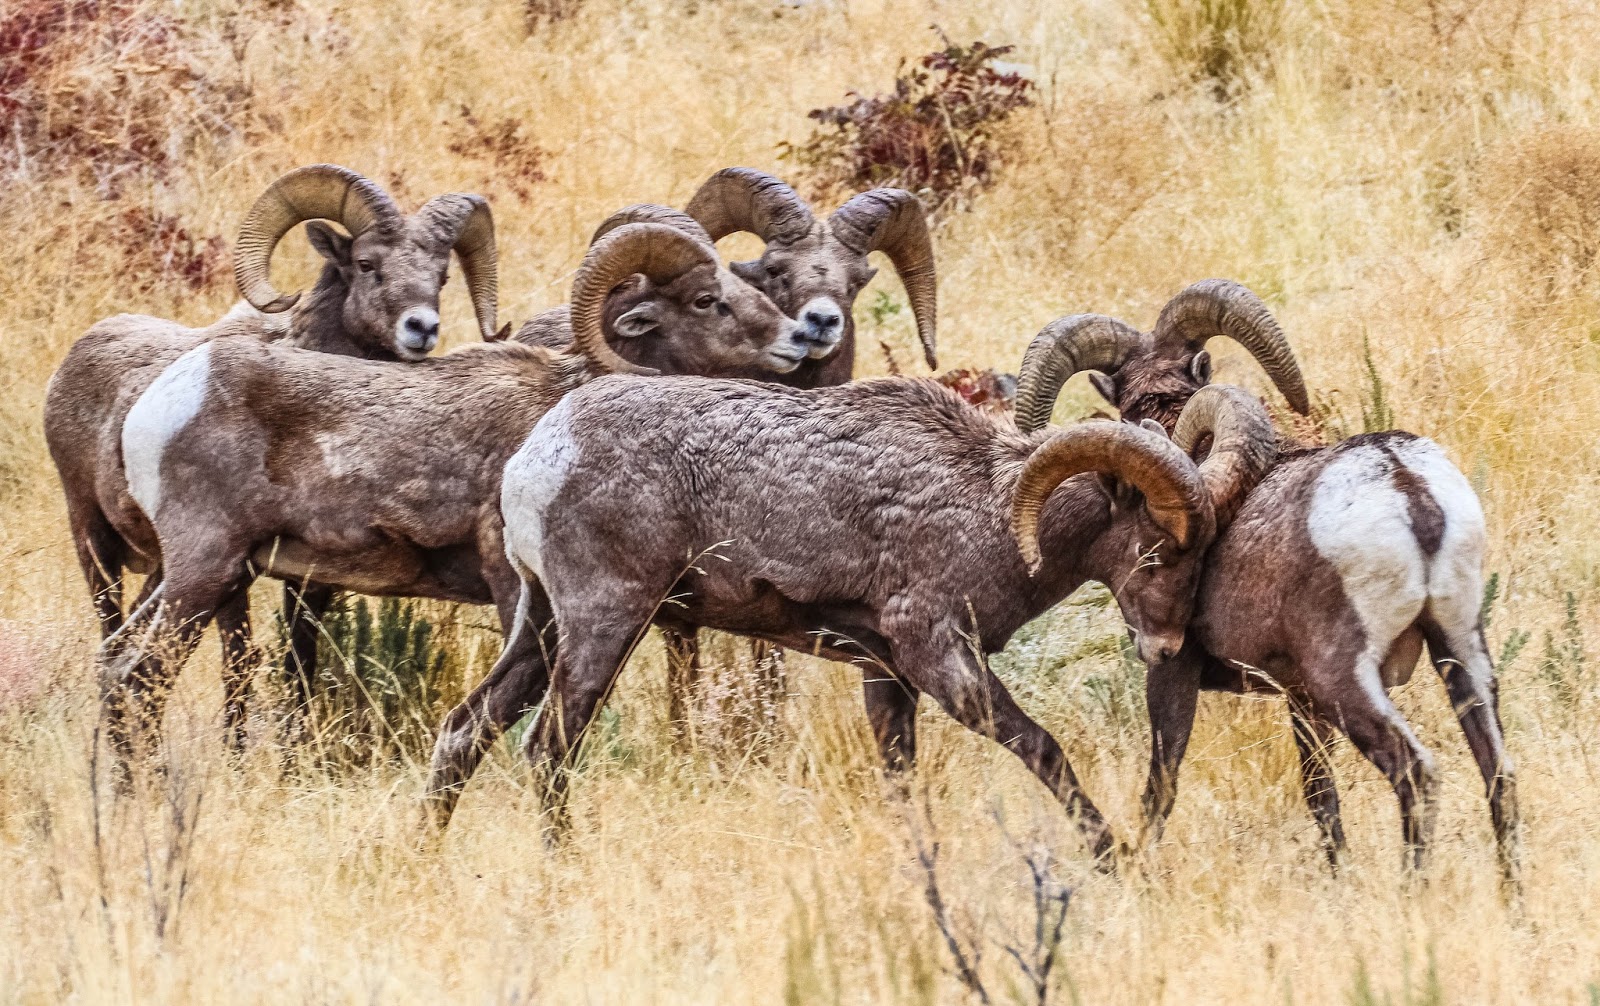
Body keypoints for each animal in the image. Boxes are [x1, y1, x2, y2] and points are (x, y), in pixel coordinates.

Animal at [45, 164, 501, 748]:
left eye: (442, 277)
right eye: (366, 264)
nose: (421, 329)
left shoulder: (311, 580)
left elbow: (297, 662)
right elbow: (238, 661)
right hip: (97, 541)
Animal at [96, 220, 810, 766]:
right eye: (704, 300)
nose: (799, 338)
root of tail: (167, 394)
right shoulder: (512, 584)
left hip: (197, 575)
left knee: (113, 667)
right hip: (205, 571)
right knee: (137, 676)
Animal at [427, 361, 1275, 860]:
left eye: (1204, 555)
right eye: (1155, 553)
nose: (1166, 649)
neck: (988, 509)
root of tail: (538, 456)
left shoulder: (885, 674)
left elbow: (901, 779)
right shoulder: (939, 654)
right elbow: (1042, 749)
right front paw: (1111, 857)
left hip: (540, 627)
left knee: (463, 733)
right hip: (605, 625)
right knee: (547, 749)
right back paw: (564, 868)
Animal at [1014, 283, 1518, 882]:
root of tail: (1406, 486)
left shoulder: (1174, 669)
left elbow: (1161, 786)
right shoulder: (1299, 698)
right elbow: (1321, 797)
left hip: (1347, 681)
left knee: (1415, 772)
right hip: (1460, 651)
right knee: (1500, 775)